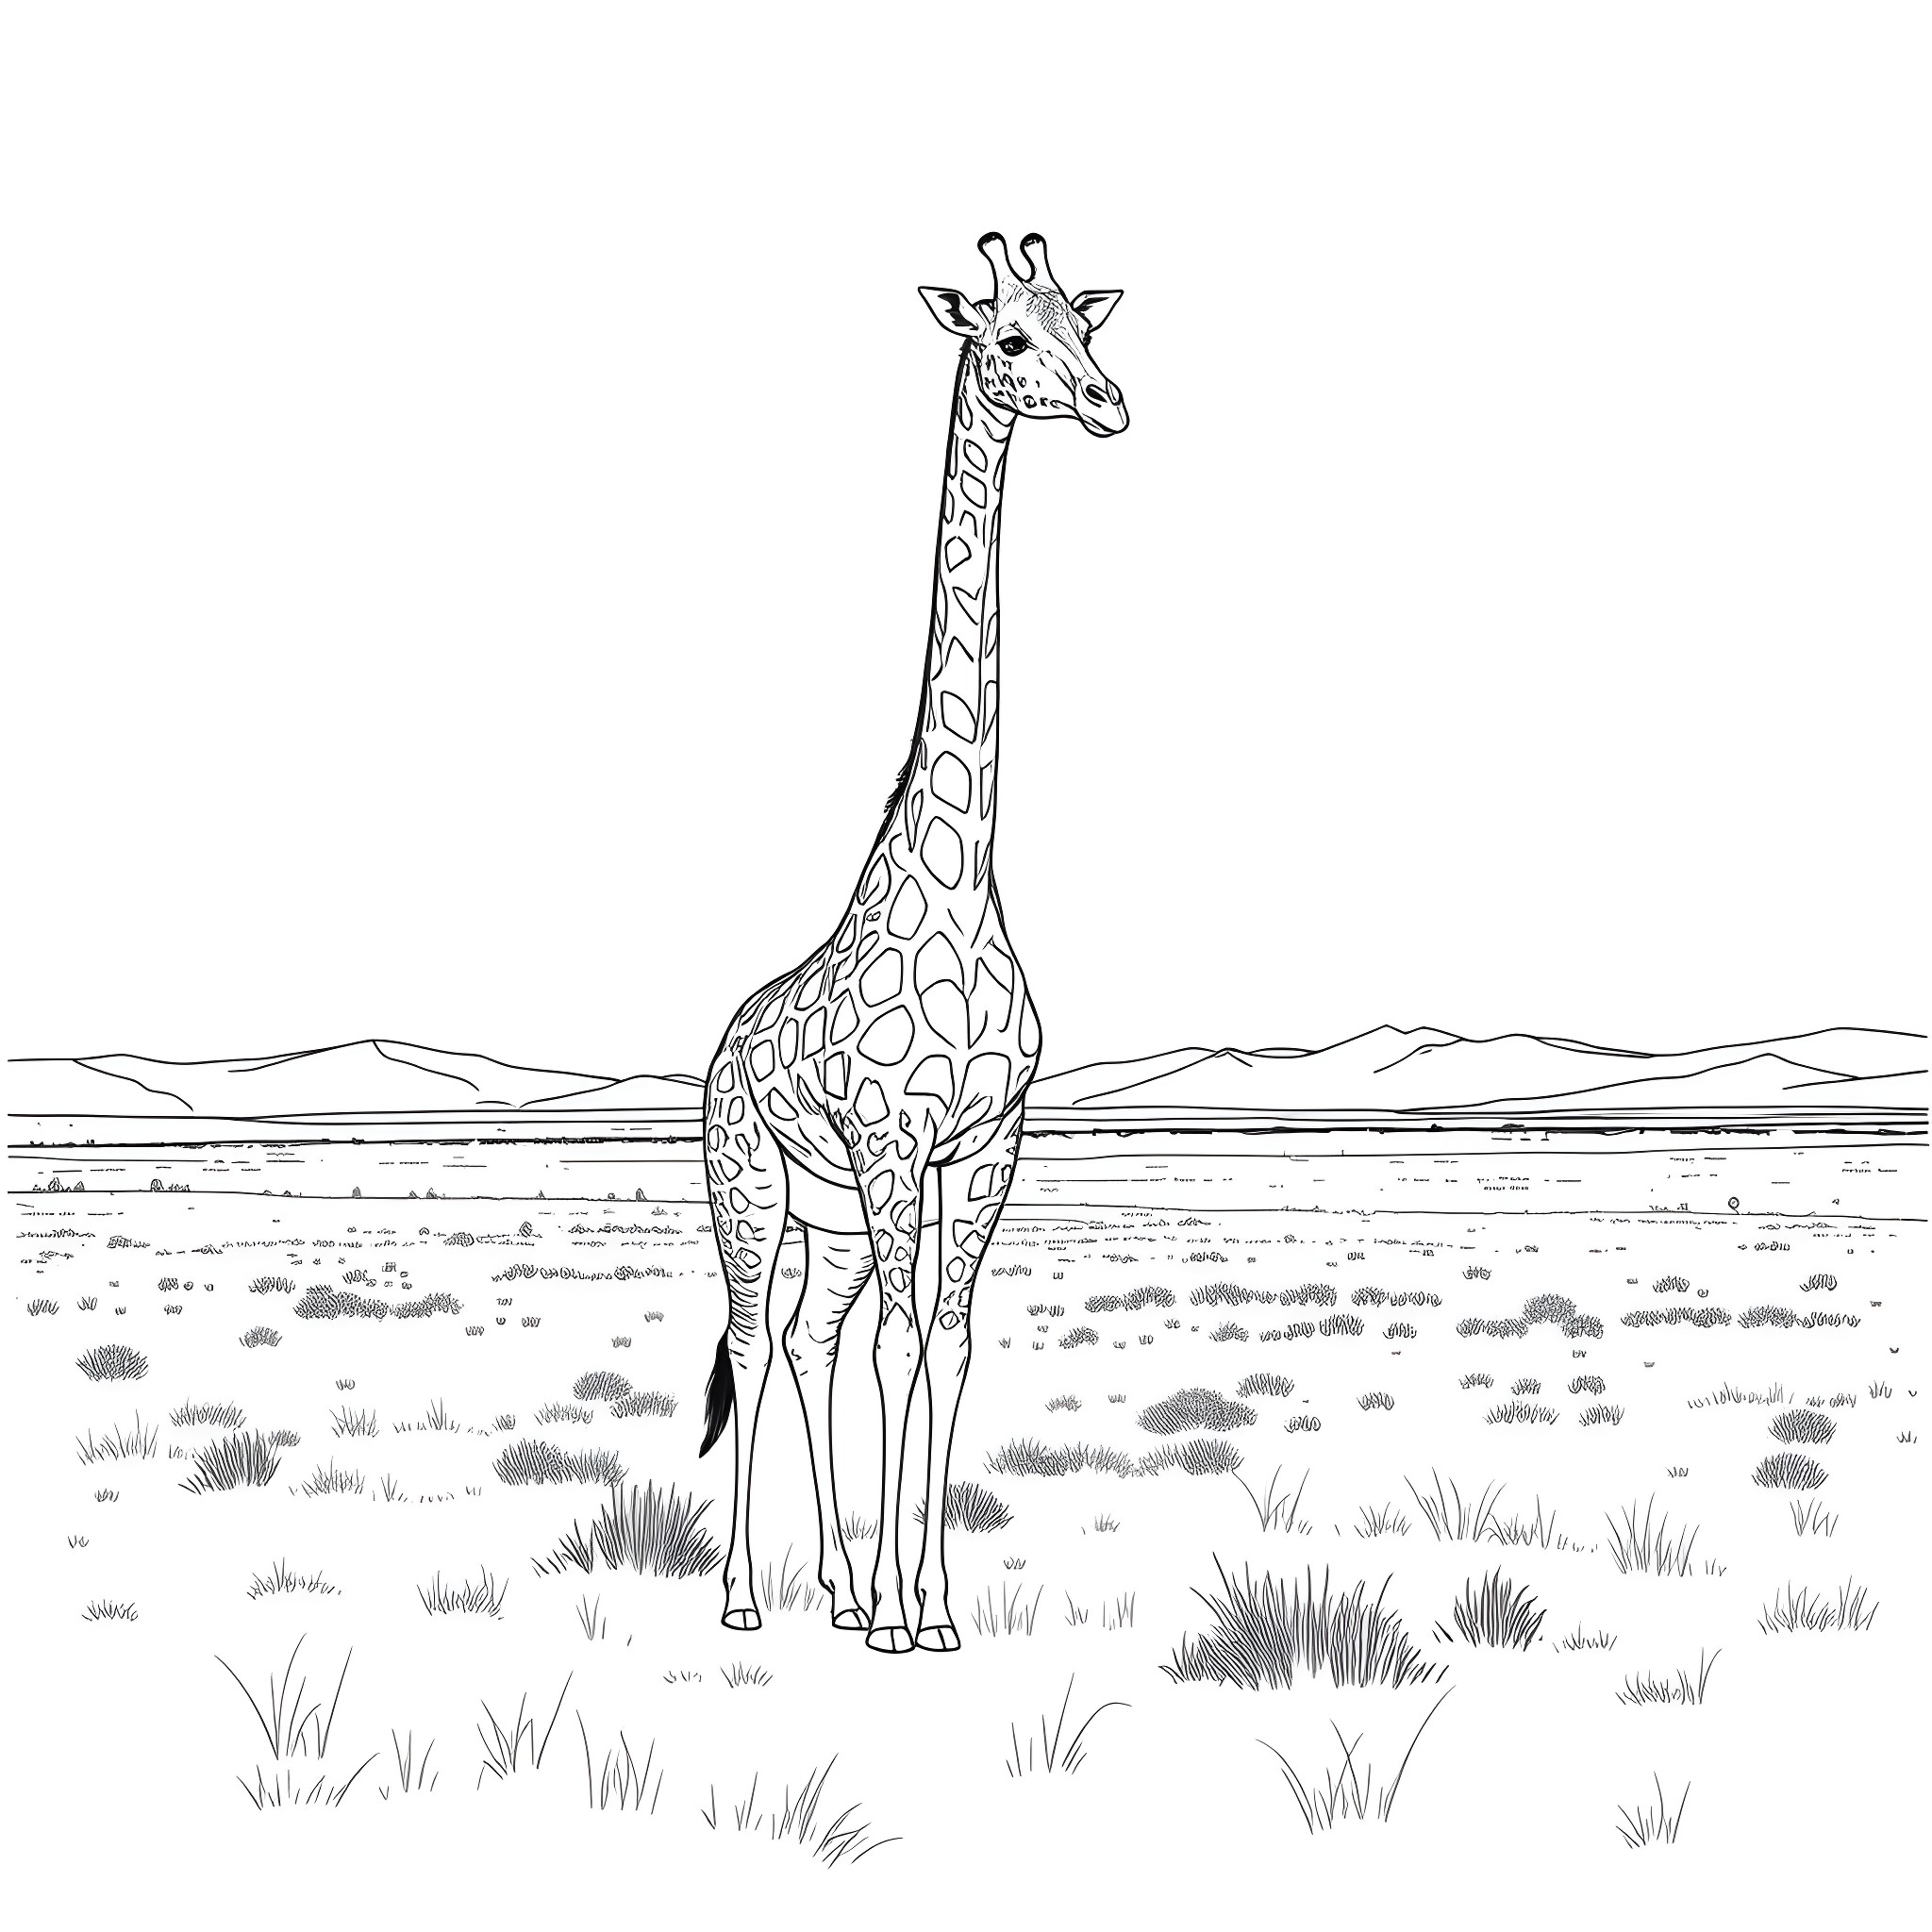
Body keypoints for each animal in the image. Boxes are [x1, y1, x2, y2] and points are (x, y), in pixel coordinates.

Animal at [695, 231, 1128, 1654]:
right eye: (1007, 338)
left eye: (1083, 323)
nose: (1107, 402)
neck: (963, 884)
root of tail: (720, 1044)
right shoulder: (895, 1143)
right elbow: (900, 1350)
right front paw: (898, 1614)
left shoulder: (985, 1146)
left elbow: (949, 1347)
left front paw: (925, 1604)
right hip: (751, 1187)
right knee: (754, 1337)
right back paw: (748, 1599)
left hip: (829, 1217)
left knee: (807, 1340)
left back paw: (831, 1587)